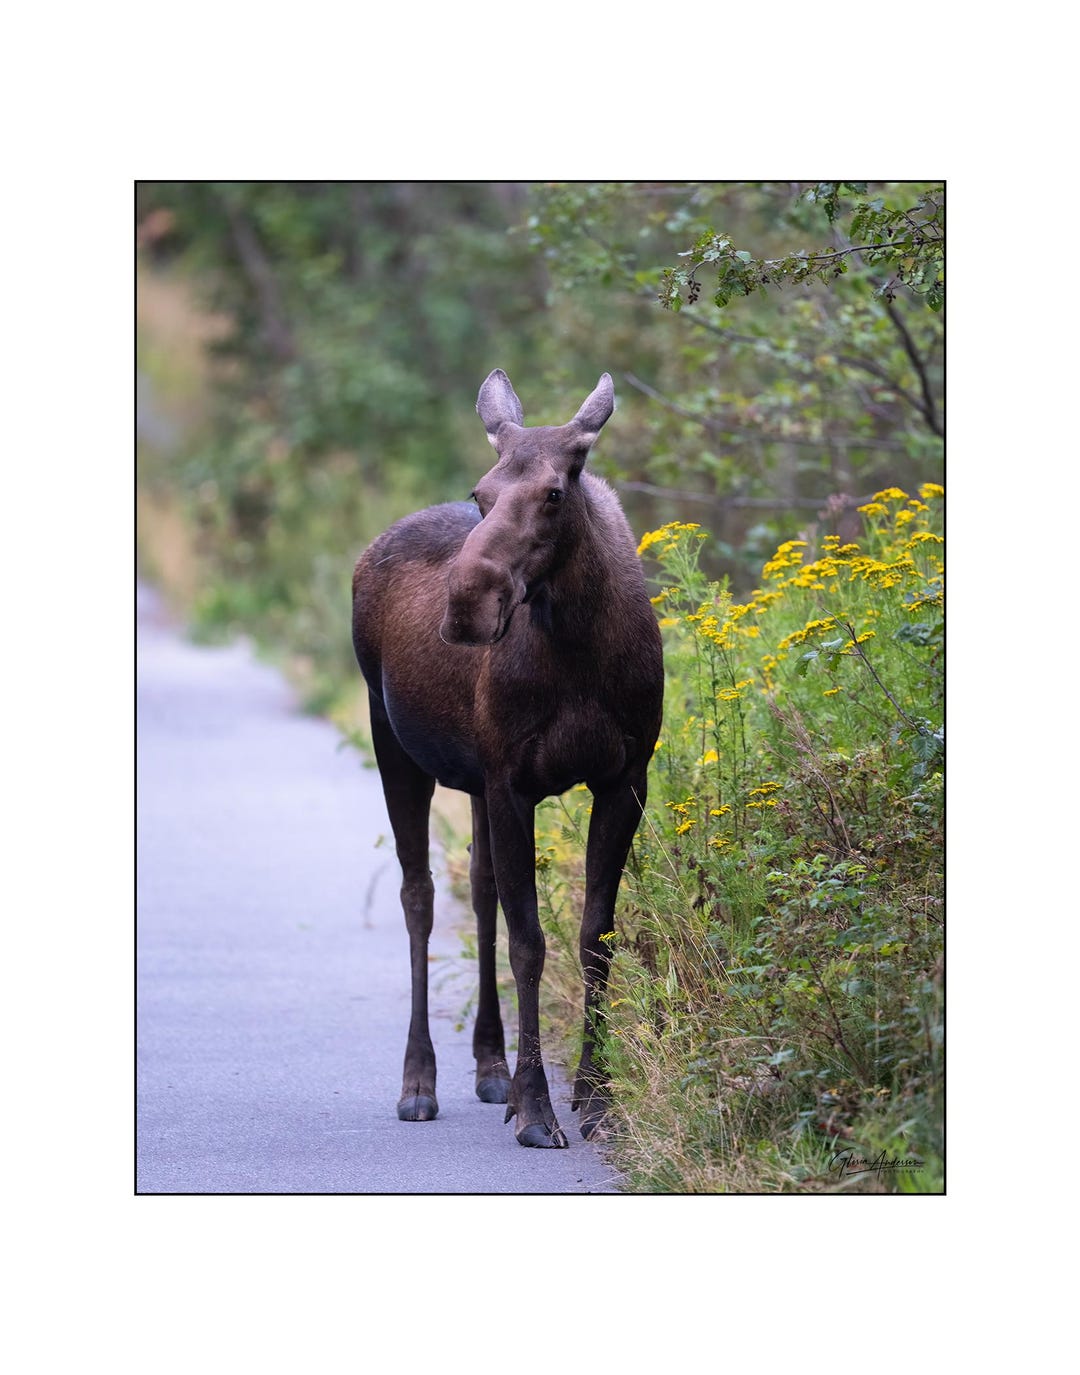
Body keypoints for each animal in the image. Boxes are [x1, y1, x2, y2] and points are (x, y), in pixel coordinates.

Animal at [351, 370, 663, 1147]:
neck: (581, 648)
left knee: (481, 884)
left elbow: (594, 934)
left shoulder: (625, 777)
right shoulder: (512, 781)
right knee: (421, 894)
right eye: (481, 492)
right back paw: (420, 1081)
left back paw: (490, 1065)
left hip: (470, 775)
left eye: (554, 492)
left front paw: (595, 1092)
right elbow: (530, 942)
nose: (468, 600)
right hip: (393, 742)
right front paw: (539, 1107)